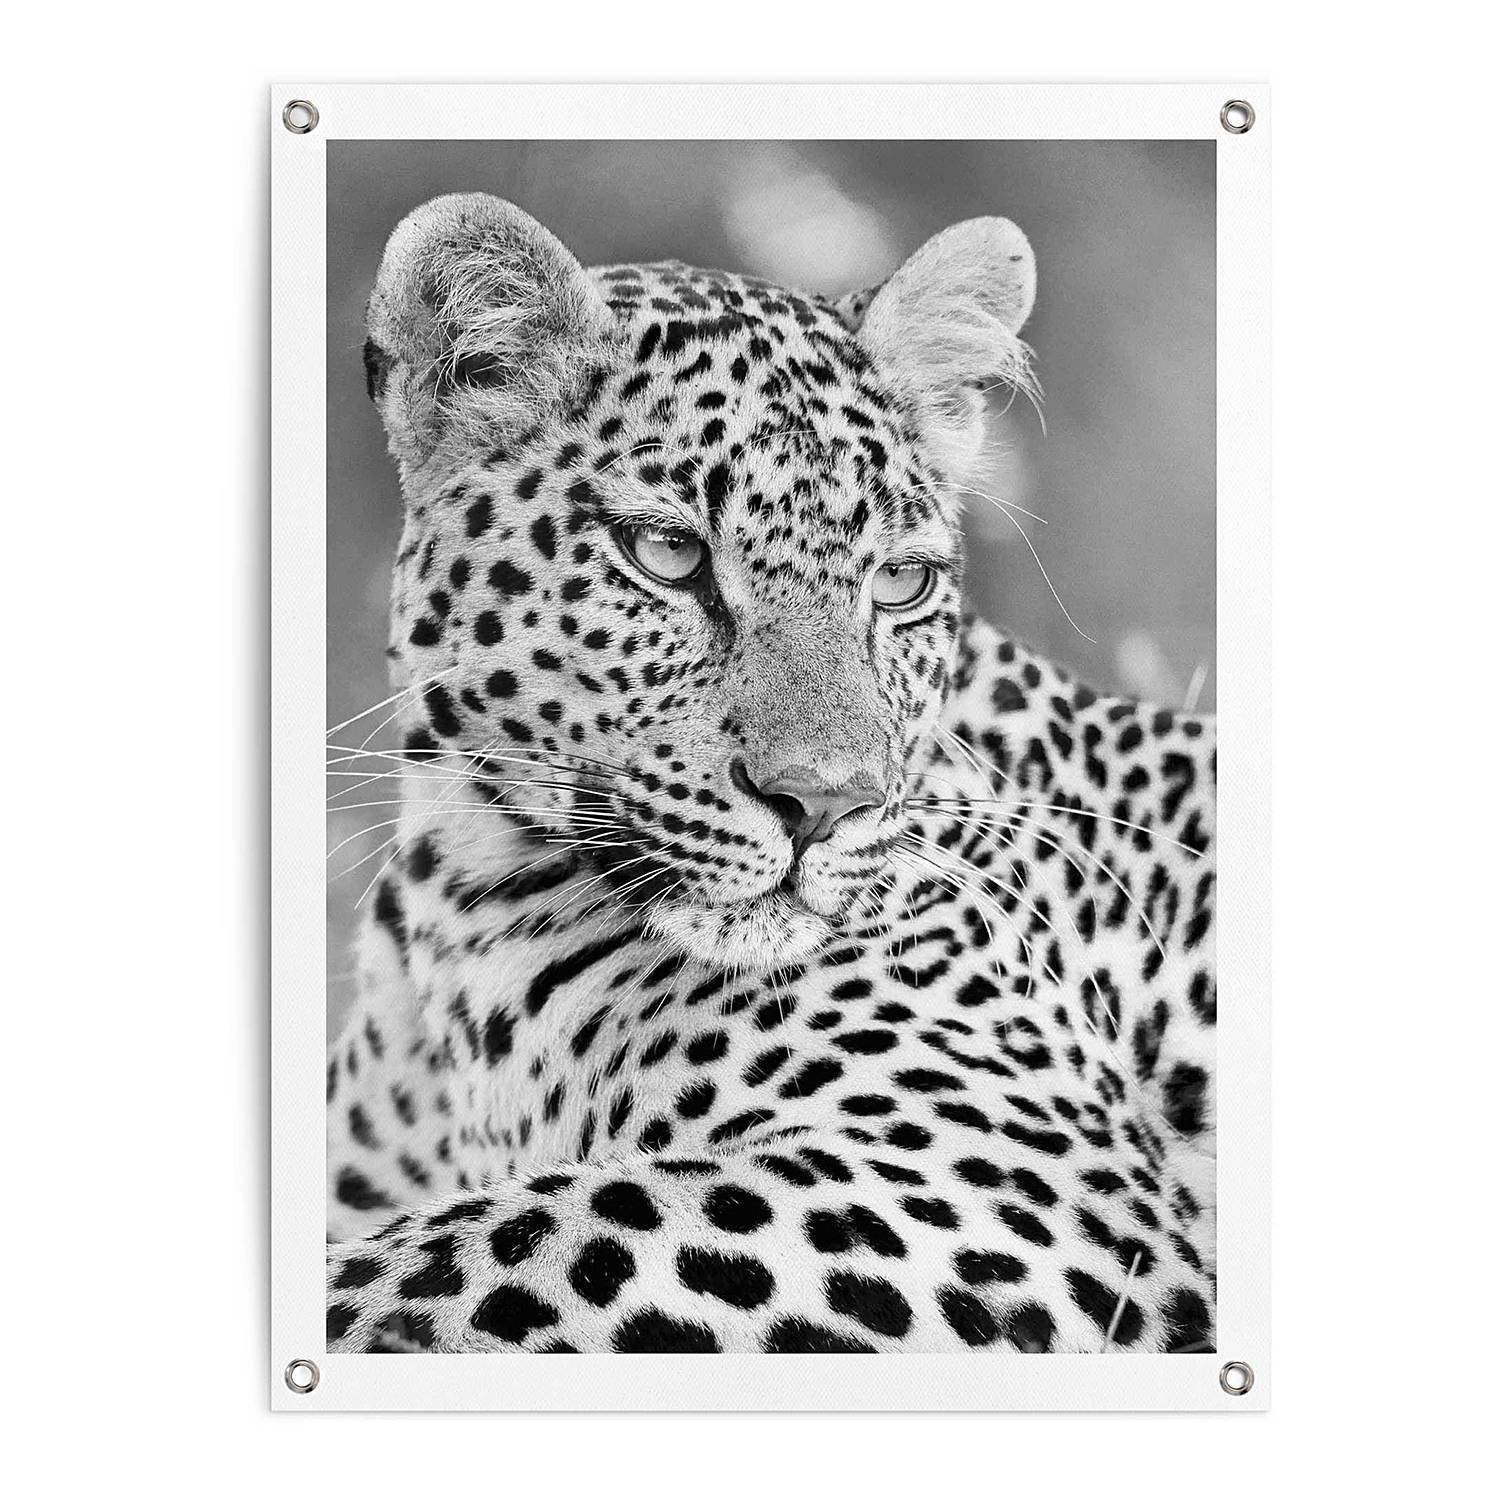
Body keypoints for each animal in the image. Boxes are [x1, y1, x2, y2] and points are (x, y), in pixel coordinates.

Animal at [324, 192, 1217, 1355]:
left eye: (901, 583)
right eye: (667, 554)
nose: (824, 803)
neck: (467, 909)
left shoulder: (1006, 1172)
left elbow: (484, 1245)